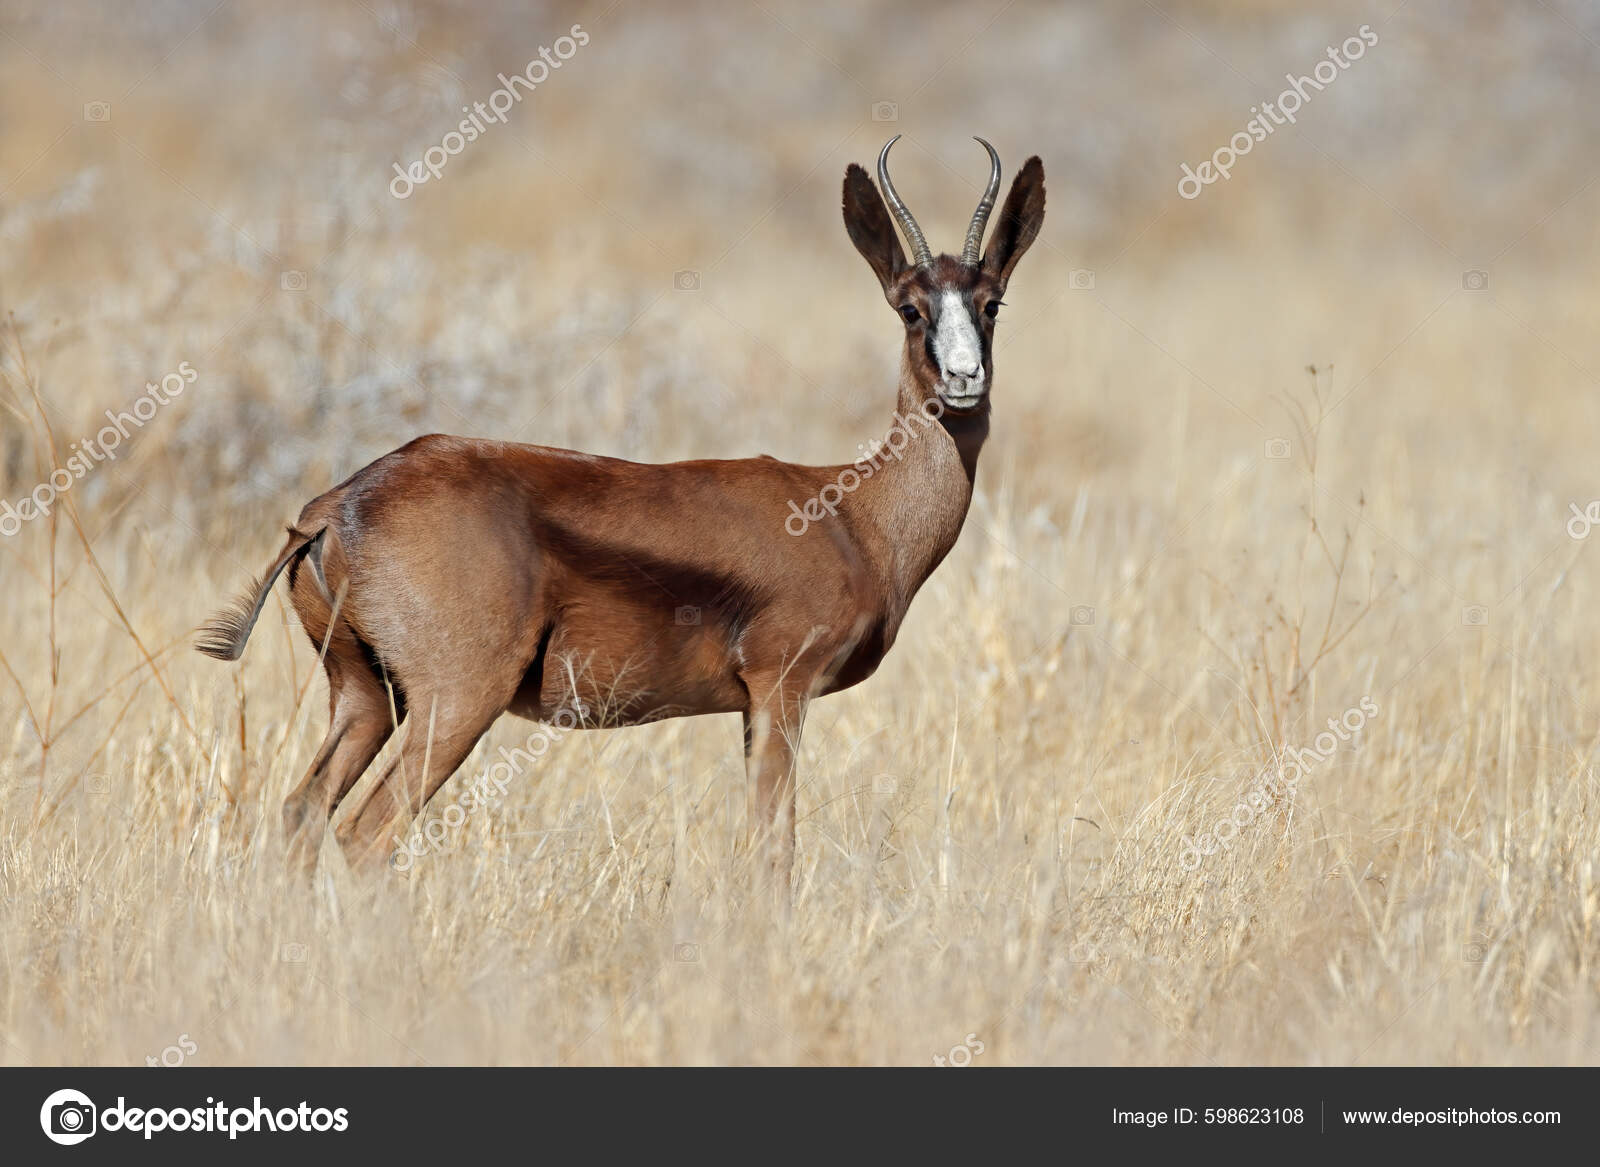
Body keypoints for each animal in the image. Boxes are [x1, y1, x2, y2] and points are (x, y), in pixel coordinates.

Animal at [199, 136, 1045, 884]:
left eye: (991, 302)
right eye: (910, 309)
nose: (963, 381)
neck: (854, 516)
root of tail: (335, 506)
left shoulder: (752, 707)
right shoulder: (783, 687)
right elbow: (775, 849)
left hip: (367, 698)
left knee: (301, 813)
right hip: (456, 701)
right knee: (368, 833)